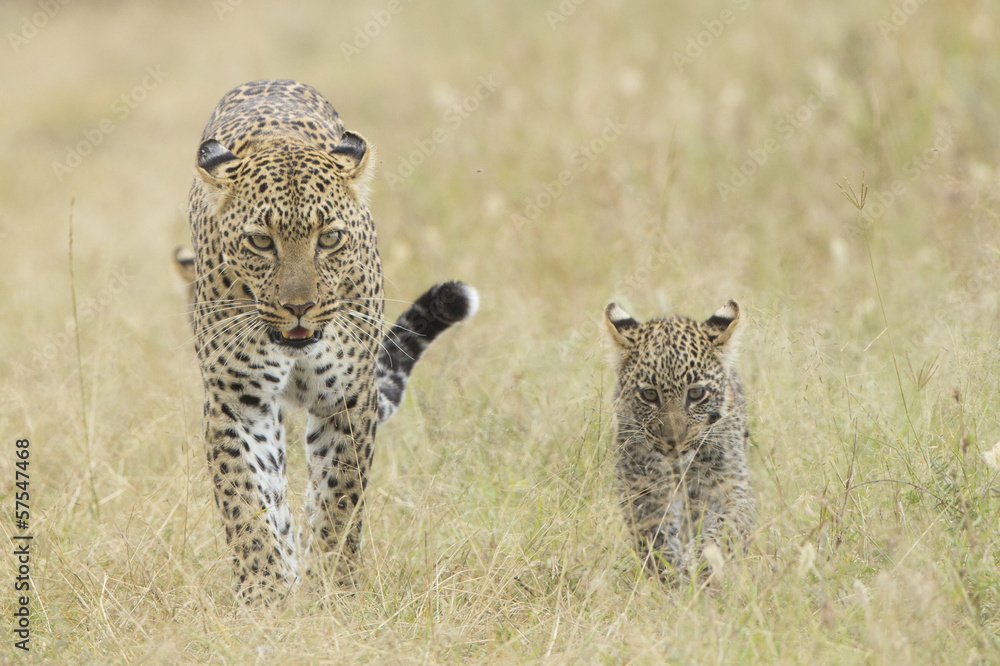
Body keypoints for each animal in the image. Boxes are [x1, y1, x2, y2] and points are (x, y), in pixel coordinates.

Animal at [182, 79, 477, 605]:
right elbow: (247, 504)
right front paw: (265, 597)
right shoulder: (237, 402)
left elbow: (339, 500)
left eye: (330, 238)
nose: (299, 306)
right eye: (261, 242)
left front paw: (331, 592)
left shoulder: (348, 399)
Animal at [604, 300, 756, 583]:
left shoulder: (730, 486)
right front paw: (672, 572)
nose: (675, 440)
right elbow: (656, 537)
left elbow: (722, 531)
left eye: (695, 393)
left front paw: (699, 564)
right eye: (649, 395)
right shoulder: (643, 492)